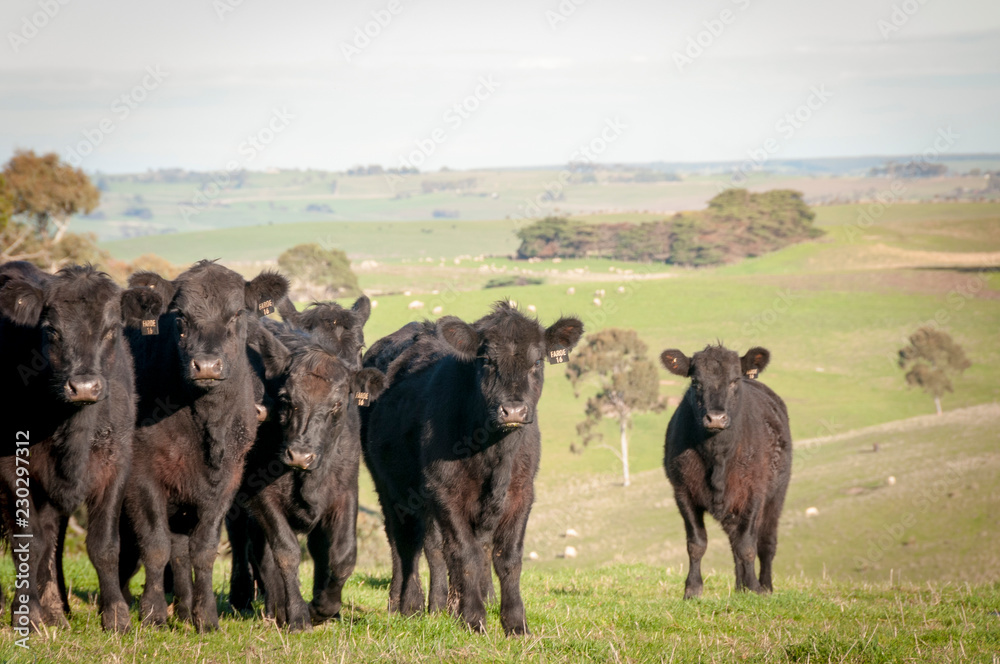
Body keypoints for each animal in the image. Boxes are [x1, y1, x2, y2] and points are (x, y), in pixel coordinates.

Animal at [0, 262, 138, 632]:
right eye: (51, 330)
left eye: (111, 329)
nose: (85, 386)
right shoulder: (11, 469)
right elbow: (28, 542)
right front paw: (27, 615)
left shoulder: (117, 465)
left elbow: (104, 545)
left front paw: (116, 616)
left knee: (53, 541)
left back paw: (56, 610)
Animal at [117, 261, 288, 632]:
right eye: (180, 316)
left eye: (237, 313)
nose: (207, 366)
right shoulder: (142, 478)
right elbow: (154, 545)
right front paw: (152, 613)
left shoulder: (225, 482)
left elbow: (204, 548)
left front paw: (205, 617)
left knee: (181, 551)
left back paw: (183, 609)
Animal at [227, 315, 386, 630]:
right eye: (286, 399)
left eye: (337, 403)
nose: (300, 455)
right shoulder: (260, 496)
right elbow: (286, 552)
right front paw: (298, 615)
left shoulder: (345, 491)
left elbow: (343, 554)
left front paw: (324, 607)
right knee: (244, 541)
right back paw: (256, 600)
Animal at [362, 302, 583, 635]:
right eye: (487, 360)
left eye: (537, 361)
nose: (513, 410)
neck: (493, 450)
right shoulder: (446, 491)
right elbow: (464, 554)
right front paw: (473, 618)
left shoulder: (521, 493)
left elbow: (506, 557)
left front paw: (515, 623)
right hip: (389, 486)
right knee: (404, 543)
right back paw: (407, 605)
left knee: (438, 547)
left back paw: (443, 605)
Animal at [659, 344, 792, 599]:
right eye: (695, 381)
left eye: (734, 380)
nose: (716, 418)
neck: (718, 455)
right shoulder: (683, 492)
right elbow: (697, 543)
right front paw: (692, 589)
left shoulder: (754, 493)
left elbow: (748, 545)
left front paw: (755, 588)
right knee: (734, 540)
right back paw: (740, 587)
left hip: (776, 495)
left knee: (766, 543)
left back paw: (765, 586)